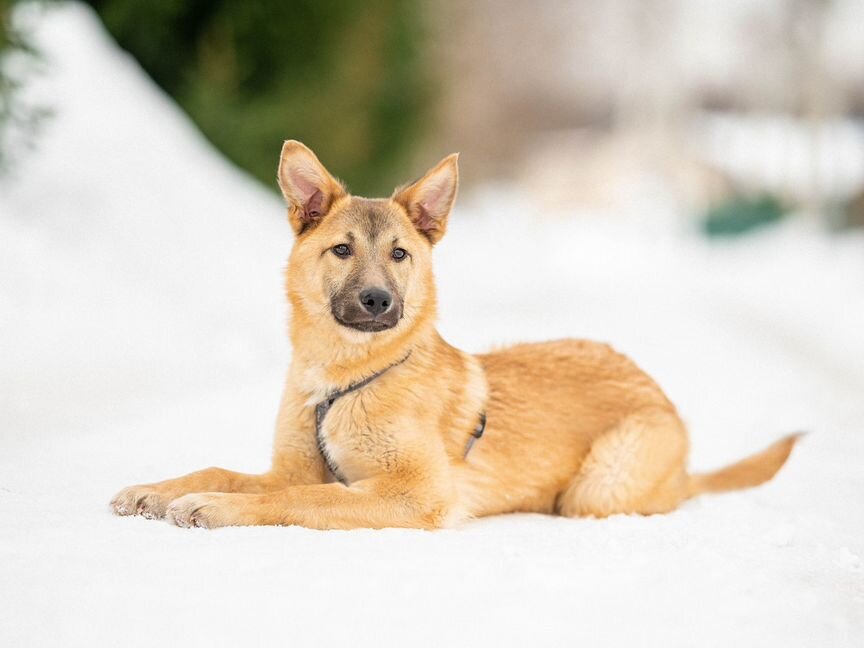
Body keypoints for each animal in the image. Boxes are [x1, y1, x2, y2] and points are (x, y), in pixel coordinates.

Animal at [111, 140, 800, 528]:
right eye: (342, 250)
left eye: (399, 254)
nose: (379, 301)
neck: (346, 377)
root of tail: (658, 392)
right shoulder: (291, 468)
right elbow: (220, 467)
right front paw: (159, 490)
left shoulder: (414, 494)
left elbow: (302, 502)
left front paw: (217, 508)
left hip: (599, 486)